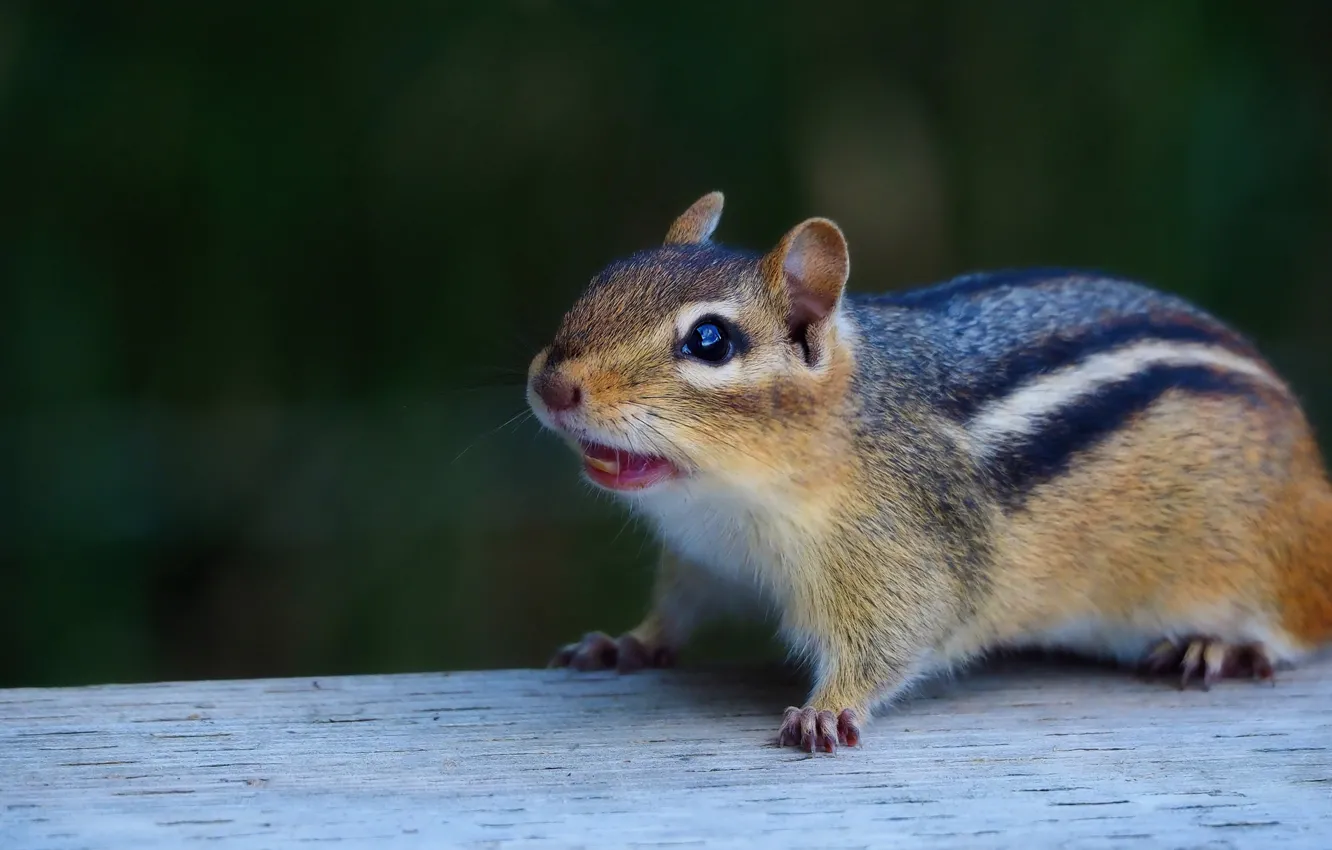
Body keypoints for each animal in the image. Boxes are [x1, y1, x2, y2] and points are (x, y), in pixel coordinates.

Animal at [527, 191, 1332, 754]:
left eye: (710, 340)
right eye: (602, 280)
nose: (550, 386)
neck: (727, 500)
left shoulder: (900, 553)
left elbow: (896, 634)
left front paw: (826, 711)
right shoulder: (703, 558)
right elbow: (677, 610)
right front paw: (626, 642)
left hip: (1269, 563)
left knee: (1298, 627)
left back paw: (1222, 646)